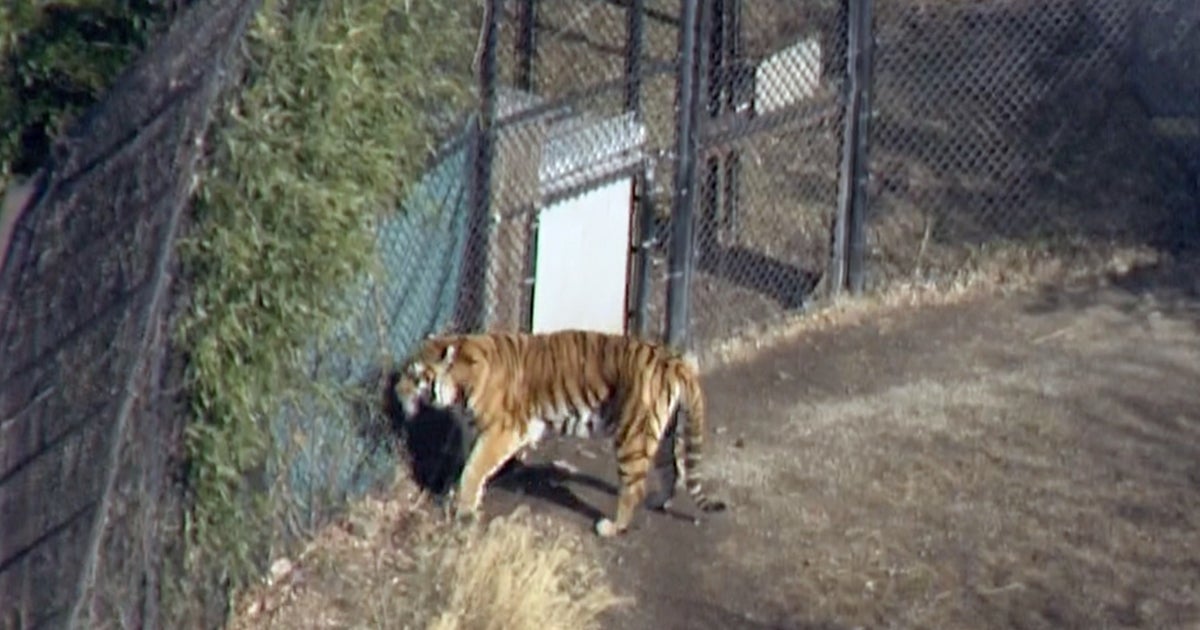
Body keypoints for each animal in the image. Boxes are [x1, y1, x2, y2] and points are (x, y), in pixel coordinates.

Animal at [393, 328, 728, 537]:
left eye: (413, 375)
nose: (395, 390)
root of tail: (674, 361)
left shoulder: (503, 430)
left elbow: (474, 468)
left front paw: (464, 511)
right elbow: (470, 466)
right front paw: (457, 498)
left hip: (633, 434)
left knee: (634, 487)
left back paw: (612, 527)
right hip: (661, 434)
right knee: (673, 471)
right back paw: (659, 502)